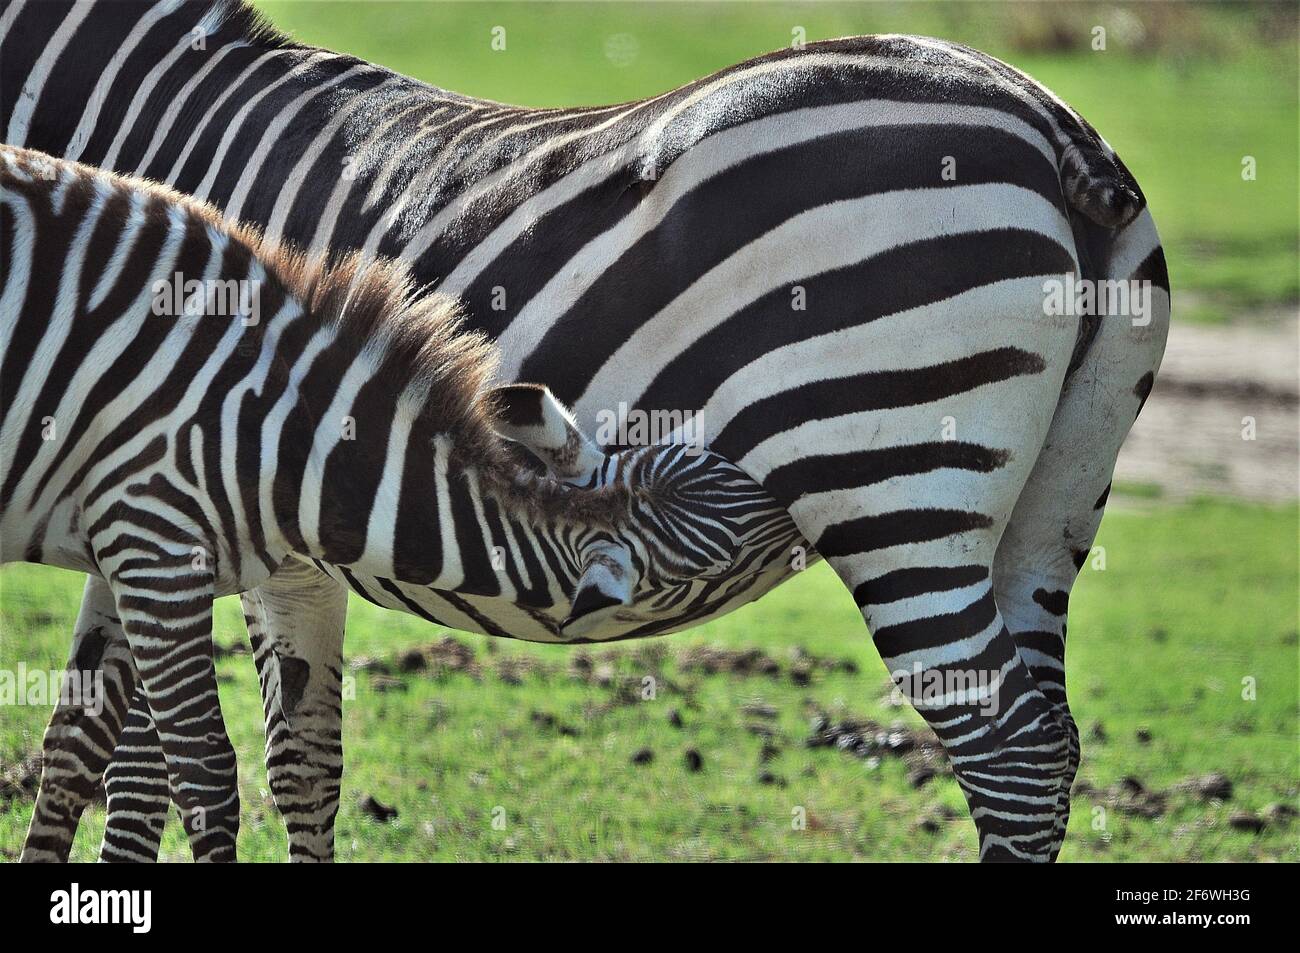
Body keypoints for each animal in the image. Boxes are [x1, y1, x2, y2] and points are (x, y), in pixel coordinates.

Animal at [0, 143, 799, 860]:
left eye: (709, 460)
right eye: (725, 555)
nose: (802, 505)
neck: (287, 440)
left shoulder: (122, 545)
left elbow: (77, 744)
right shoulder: (156, 542)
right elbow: (203, 775)